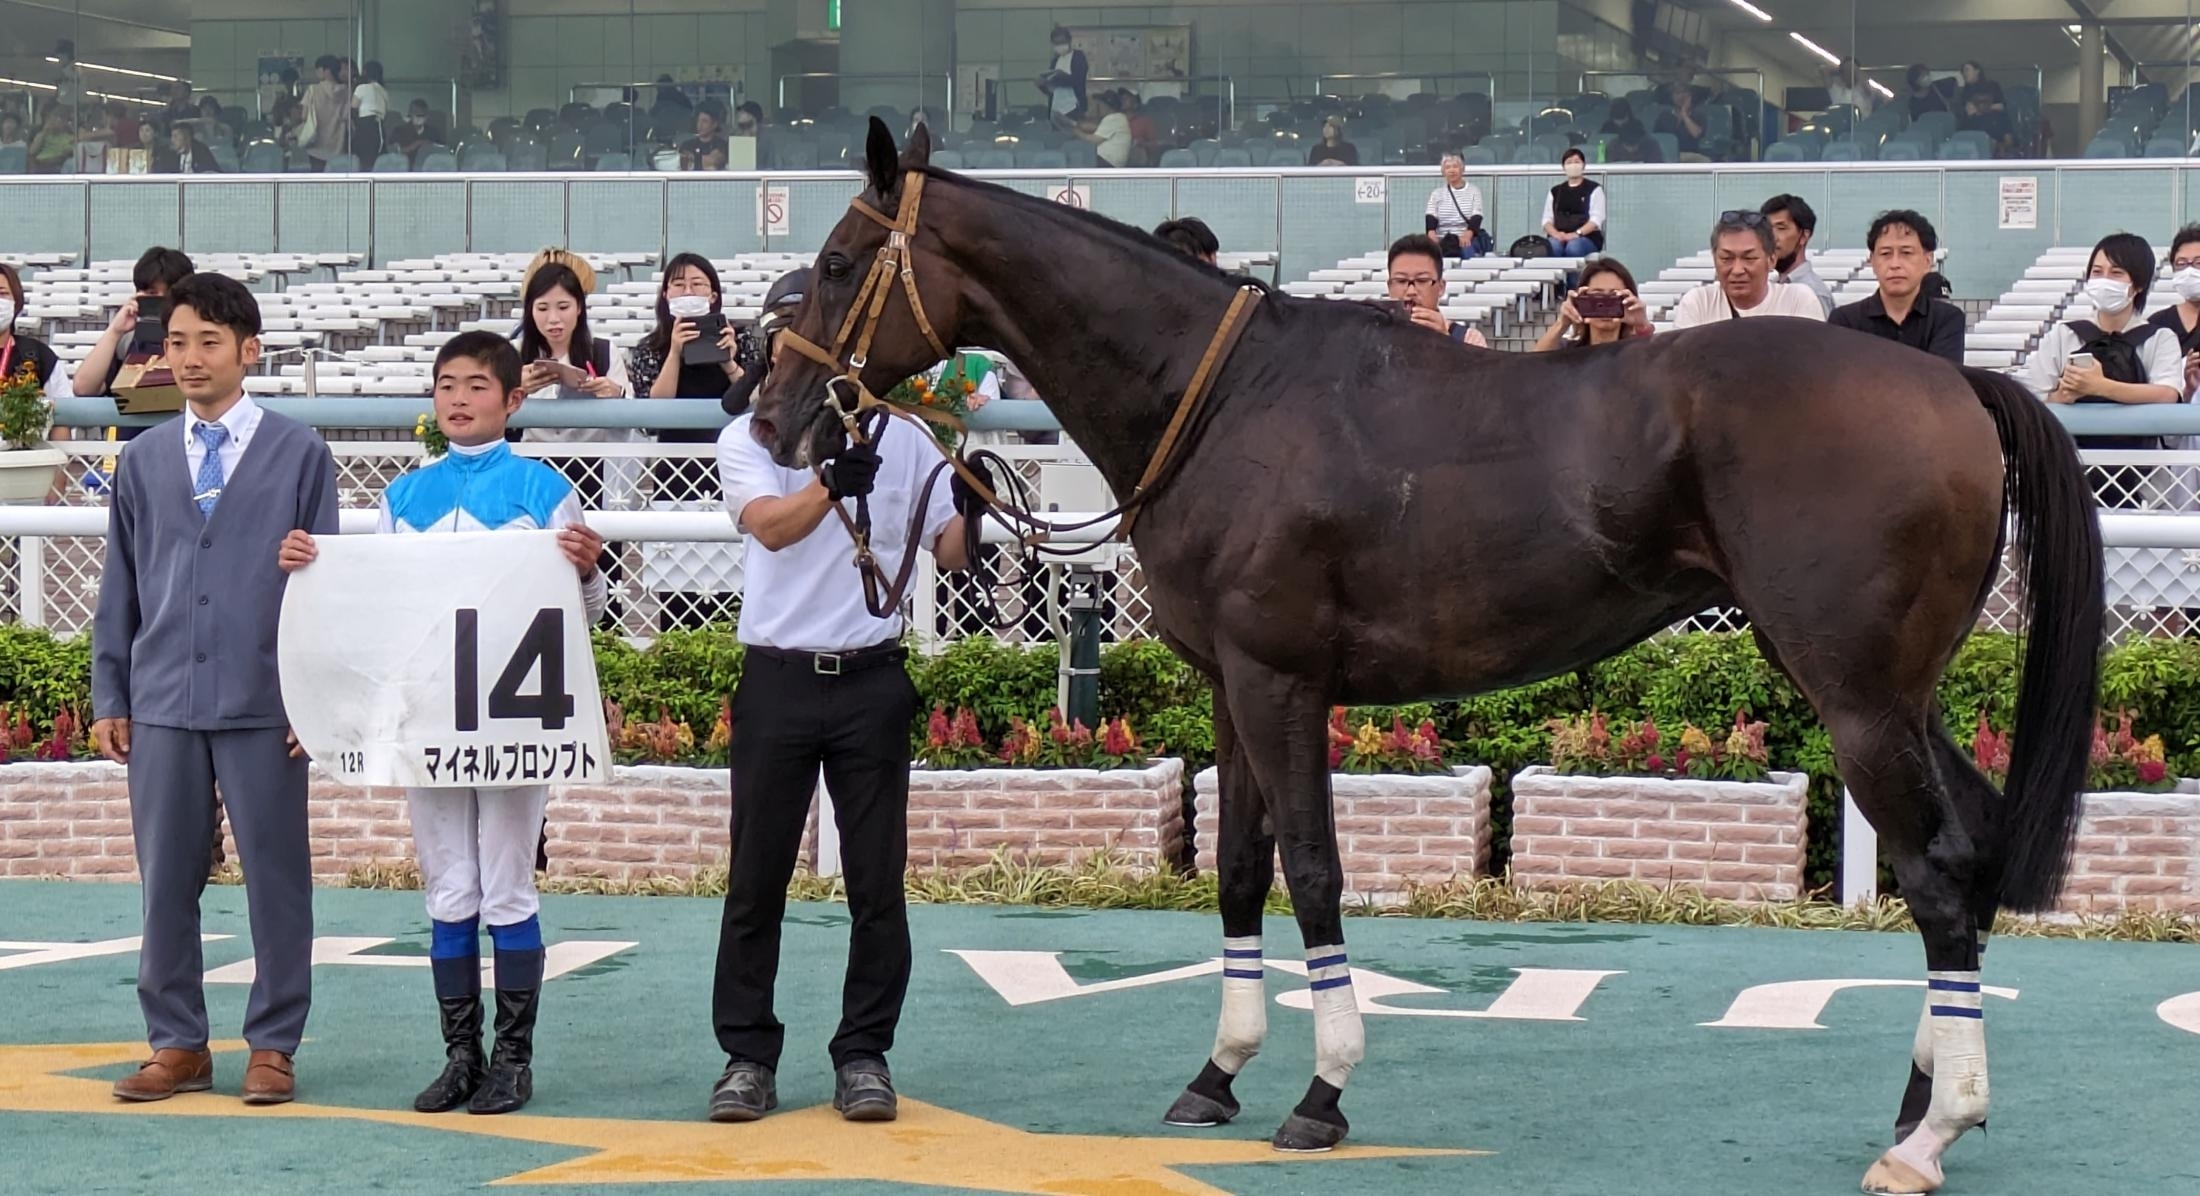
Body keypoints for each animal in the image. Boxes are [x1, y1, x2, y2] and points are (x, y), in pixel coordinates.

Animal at [754, 118, 2104, 1195]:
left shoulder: (1282, 682)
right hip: (1892, 690)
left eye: (836, 266)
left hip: (1856, 694)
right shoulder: (1230, 686)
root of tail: (1956, 387)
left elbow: (1311, 871)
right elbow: (1236, 872)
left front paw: (1321, 1091)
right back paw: (1920, 1096)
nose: (774, 417)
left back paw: (1928, 1136)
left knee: (1939, 876)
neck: (1227, 398)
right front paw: (1217, 1072)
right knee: (1970, 849)